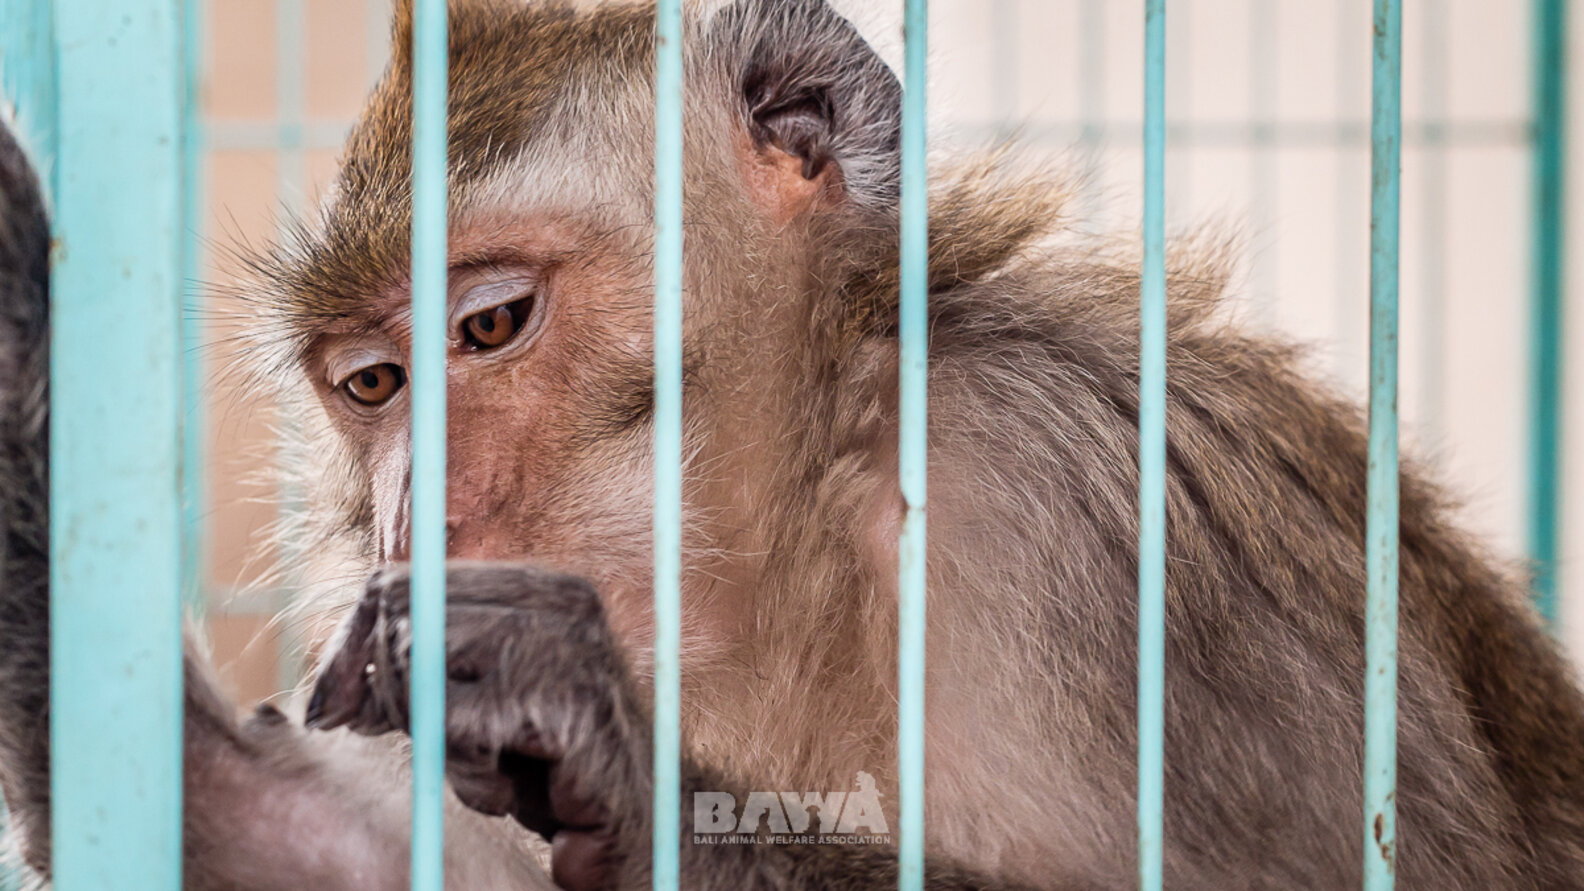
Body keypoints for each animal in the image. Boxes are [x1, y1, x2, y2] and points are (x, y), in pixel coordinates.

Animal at [4, 0, 1584, 888]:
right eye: (374, 384)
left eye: (493, 324)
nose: (413, 518)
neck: (818, 515)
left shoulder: (1075, 514)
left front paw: (624, 763)